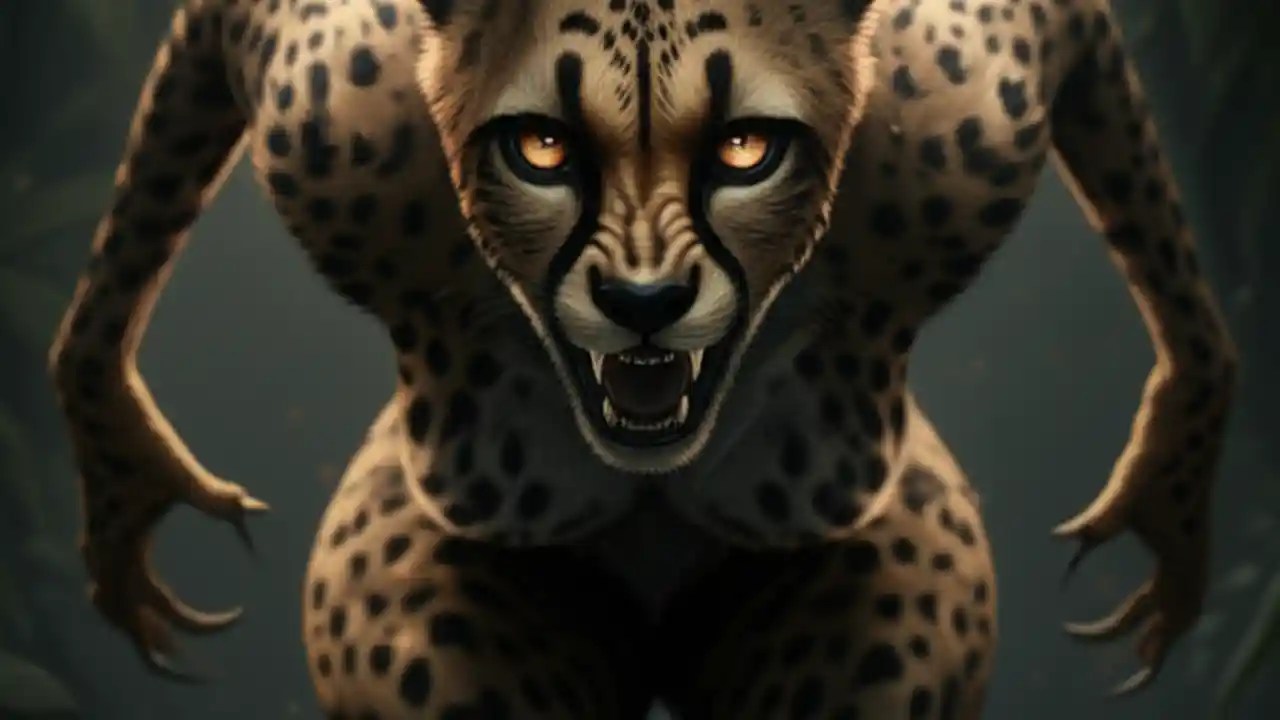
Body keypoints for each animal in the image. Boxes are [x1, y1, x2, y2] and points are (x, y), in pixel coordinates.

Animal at [47, 0, 1238, 717]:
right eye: (542, 147)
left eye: (744, 149)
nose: (644, 304)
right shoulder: (310, 78)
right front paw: (120, 468)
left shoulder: (1005, 72)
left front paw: (1173, 488)